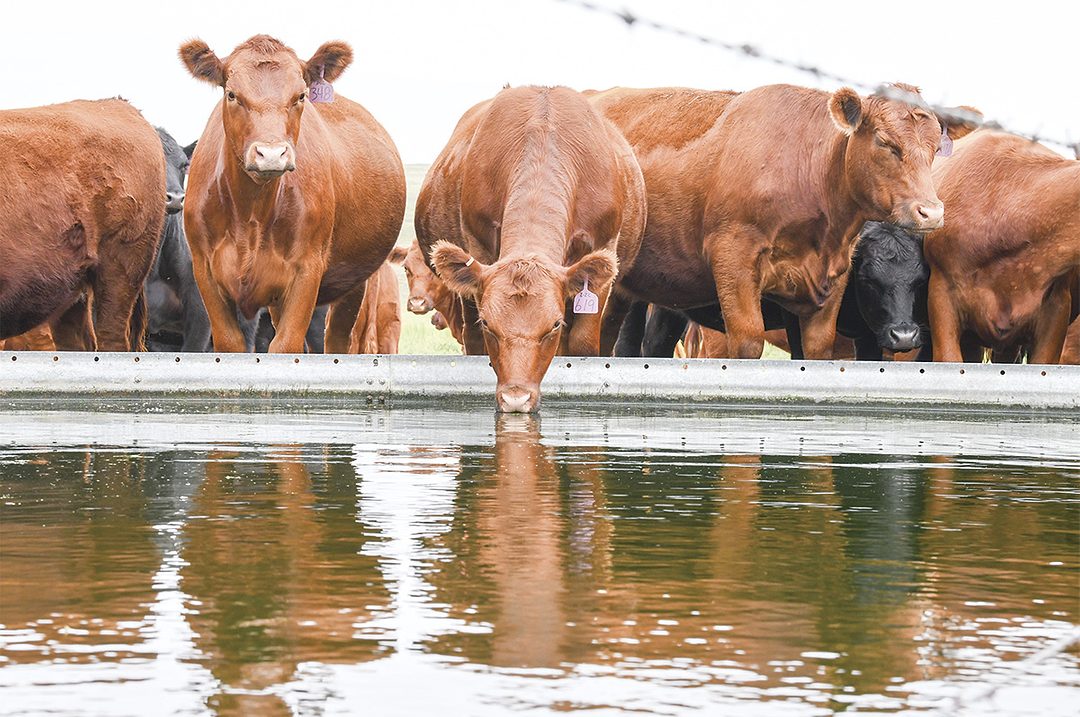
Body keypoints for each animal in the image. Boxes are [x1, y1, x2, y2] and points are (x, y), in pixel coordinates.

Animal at [179, 35, 406, 353]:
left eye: (300, 96)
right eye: (232, 94)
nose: (271, 154)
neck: (251, 212)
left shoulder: (307, 271)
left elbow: (286, 345)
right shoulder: (205, 271)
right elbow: (230, 343)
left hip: (354, 282)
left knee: (337, 338)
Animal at [418, 86, 646, 413]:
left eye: (553, 324)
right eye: (488, 323)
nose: (516, 398)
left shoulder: (604, 250)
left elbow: (582, 343)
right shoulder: (478, 248)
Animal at [589, 85, 977, 360]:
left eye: (935, 148)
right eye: (885, 142)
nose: (931, 212)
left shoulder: (828, 285)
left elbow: (816, 350)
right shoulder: (734, 261)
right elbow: (748, 343)